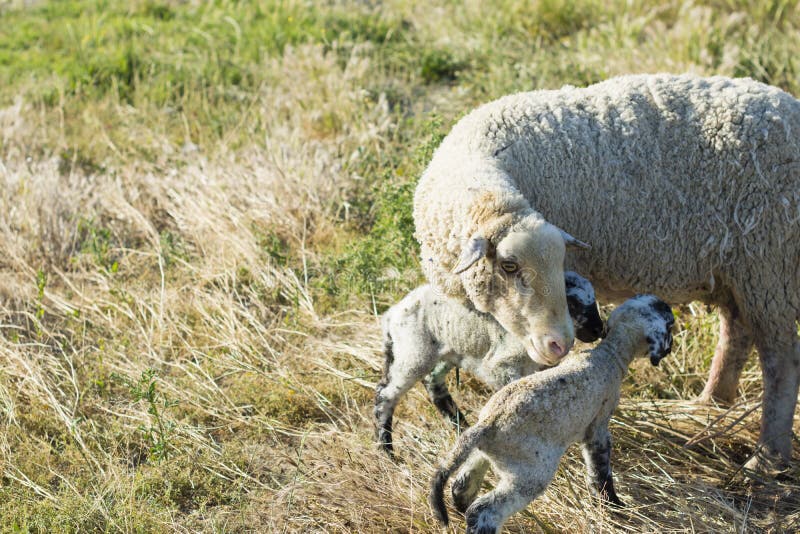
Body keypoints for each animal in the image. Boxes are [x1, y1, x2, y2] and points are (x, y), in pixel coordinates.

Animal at [375, 271, 604, 455]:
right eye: (572, 303)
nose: (598, 330)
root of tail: (390, 315)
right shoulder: (499, 366)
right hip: (413, 351)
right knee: (385, 395)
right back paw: (386, 451)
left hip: (447, 348)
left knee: (433, 383)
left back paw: (459, 426)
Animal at [413, 73, 800, 473]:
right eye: (509, 265)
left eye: (559, 262)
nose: (559, 343)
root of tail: (791, 108)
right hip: (736, 270)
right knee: (735, 333)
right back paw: (709, 405)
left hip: (769, 261)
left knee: (781, 361)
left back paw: (767, 458)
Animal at [429, 295, 675, 533]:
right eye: (670, 325)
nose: (670, 347)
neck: (610, 355)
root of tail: (487, 425)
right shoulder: (597, 429)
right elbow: (600, 472)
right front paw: (614, 506)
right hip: (530, 472)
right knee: (484, 511)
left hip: (485, 454)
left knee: (462, 486)